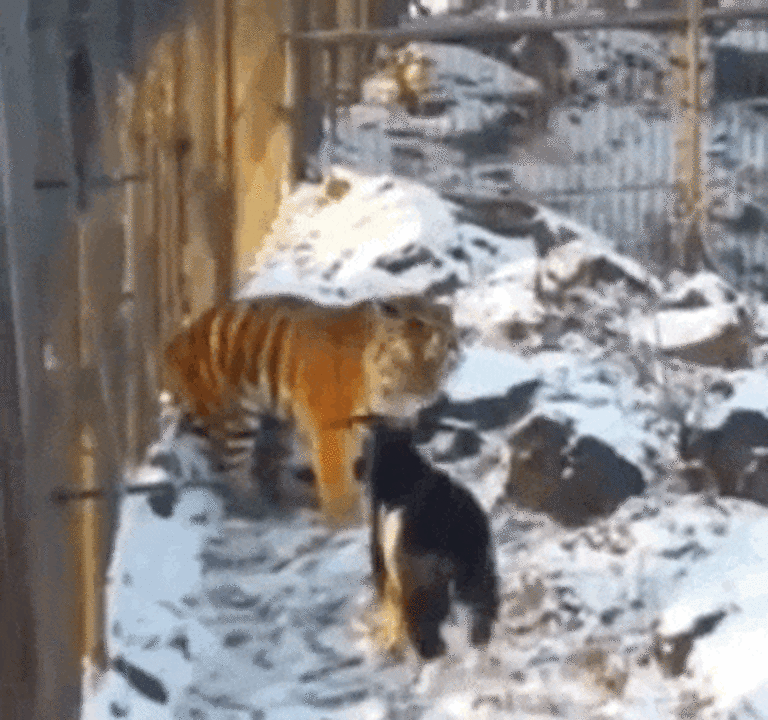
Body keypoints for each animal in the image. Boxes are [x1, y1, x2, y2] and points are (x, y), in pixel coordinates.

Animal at [163, 293, 460, 524]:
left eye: (437, 358)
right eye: (402, 360)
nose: (424, 393)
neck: (389, 394)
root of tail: (176, 339)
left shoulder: (396, 423)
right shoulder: (332, 428)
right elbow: (337, 479)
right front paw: (347, 523)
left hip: (278, 424)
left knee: (268, 466)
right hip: (234, 422)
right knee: (231, 471)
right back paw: (255, 510)